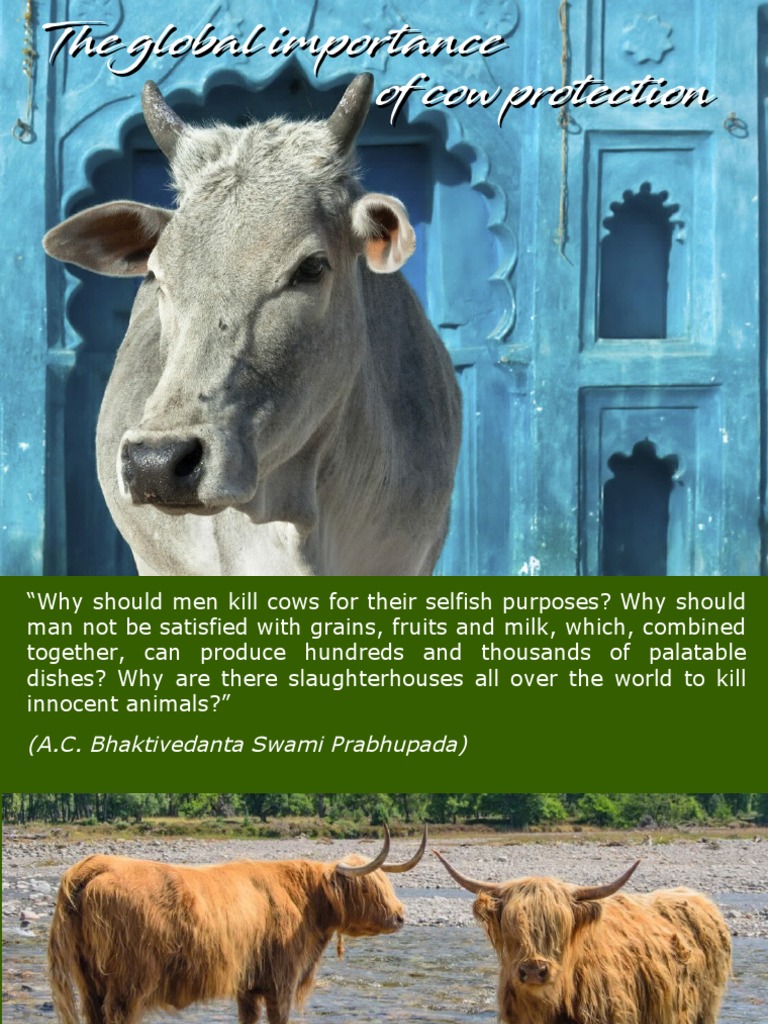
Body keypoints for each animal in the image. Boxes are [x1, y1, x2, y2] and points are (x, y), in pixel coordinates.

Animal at [49, 826, 426, 1024]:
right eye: (368, 887)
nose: (400, 916)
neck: (303, 901)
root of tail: (94, 866)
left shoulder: (248, 986)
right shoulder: (281, 982)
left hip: (89, 980)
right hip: (128, 984)